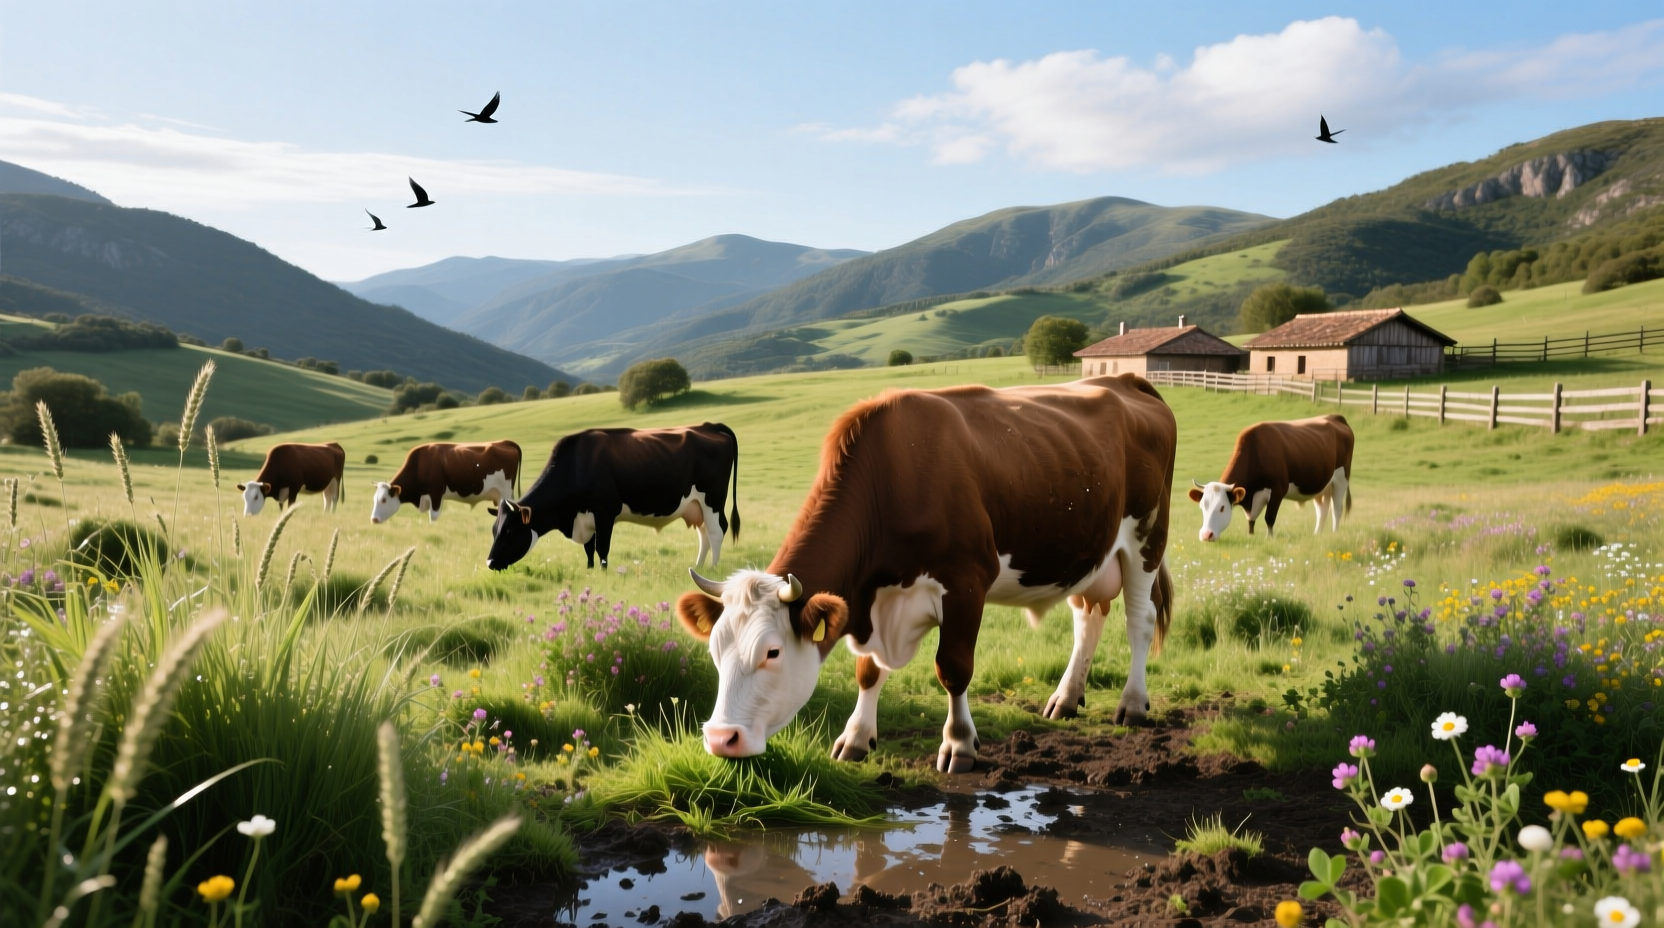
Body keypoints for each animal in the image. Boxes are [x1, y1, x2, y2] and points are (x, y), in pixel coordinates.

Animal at [369, 441, 521, 524]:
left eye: (384, 500)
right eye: (374, 499)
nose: (373, 519)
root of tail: (504, 442)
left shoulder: (435, 493)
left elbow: (434, 516)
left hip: (506, 492)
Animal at [485, 422, 740, 571]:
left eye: (509, 531)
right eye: (494, 530)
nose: (489, 562)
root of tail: (709, 426)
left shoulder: (605, 511)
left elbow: (602, 548)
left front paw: (603, 572)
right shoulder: (585, 516)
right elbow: (589, 548)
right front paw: (590, 571)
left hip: (712, 500)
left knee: (717, 531)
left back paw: (713, 569)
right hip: (695, 505)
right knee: (704, 533)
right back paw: (699, 567)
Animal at [673, 376, 1176, 774]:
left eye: (772, 652)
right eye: (715, 650)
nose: (720, 738)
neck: (892, 476)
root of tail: (1126, 380)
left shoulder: (967, 581)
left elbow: (952, 668)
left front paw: (959, 745)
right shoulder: (868, 602)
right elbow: (867, 671)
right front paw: (856, 738)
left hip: (1145, 541)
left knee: (1139, 620)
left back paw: (1132, 704)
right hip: (1088, 552)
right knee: (1088, 618)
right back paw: (1066, 698)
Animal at [1187, 414, 1354, 541]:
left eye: (1222, 507)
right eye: (1202, 506)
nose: (1206, 535)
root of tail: (1335, 417)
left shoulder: (1277, 490)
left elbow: (1269, 518)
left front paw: (1269, 538)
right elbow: (1251, 520)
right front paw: (1251, 536)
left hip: (1341, 480)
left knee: (1336, 509)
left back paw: (1335, 533)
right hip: (1322, 485)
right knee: (1322, 510)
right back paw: (1317, 534)